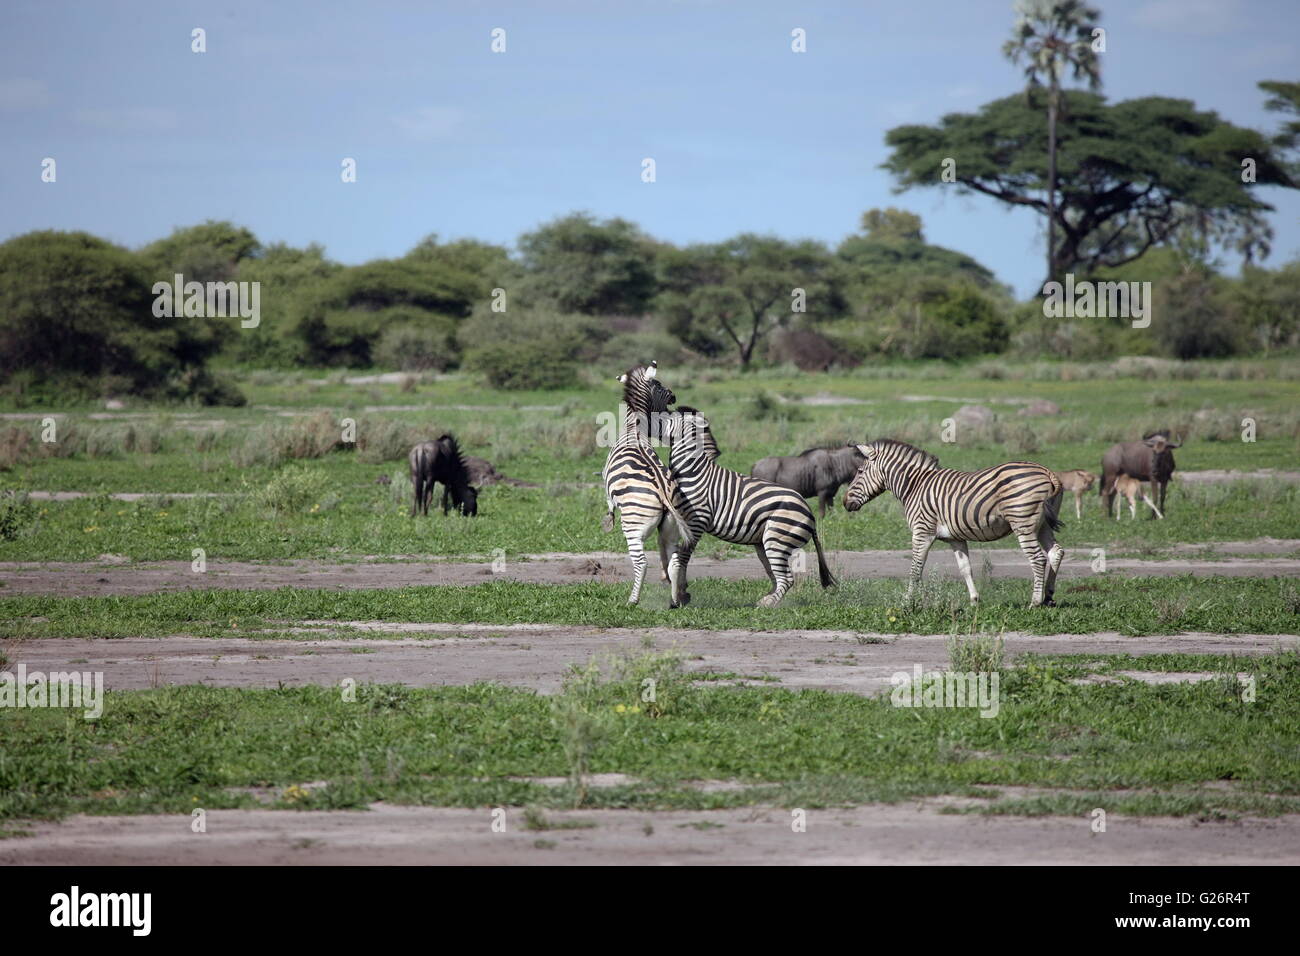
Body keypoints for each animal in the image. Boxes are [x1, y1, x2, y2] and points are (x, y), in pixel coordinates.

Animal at [601, 361, 693, 605]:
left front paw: (608, 520)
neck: (633, 428)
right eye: (660, 385)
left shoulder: (605, 481)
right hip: (671, 528)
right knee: (674, 560)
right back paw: (675, 601)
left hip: (633, 527)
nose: (674, 396)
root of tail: (664, 493)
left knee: (641, 563)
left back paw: (632, 600)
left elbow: (609, 503)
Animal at [665, 405, 835, 609]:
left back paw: (767, 604)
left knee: (786, 578)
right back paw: (765, 599)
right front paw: (682, 594)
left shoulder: (696, 522)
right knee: (775, 575)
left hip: (777, 539)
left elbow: (679, 560)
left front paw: (677, 599)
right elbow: (681, 559)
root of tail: (808, 510)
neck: (693, 472)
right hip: (764, 543)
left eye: (668, 419)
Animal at [843, 439, 1064, 607]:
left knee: (1038, 558)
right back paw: (1048, 597)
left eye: (860, 471)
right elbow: (965, 568)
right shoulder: (955, 538)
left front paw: (907, 601)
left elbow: (915, 568)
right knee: (1056, 552)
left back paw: (1035, 602)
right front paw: (974, 600)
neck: (915, 485)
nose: (844, 502)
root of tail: (1046, 471)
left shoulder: (922, 532)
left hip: (1023, 523)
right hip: (1042, 525)